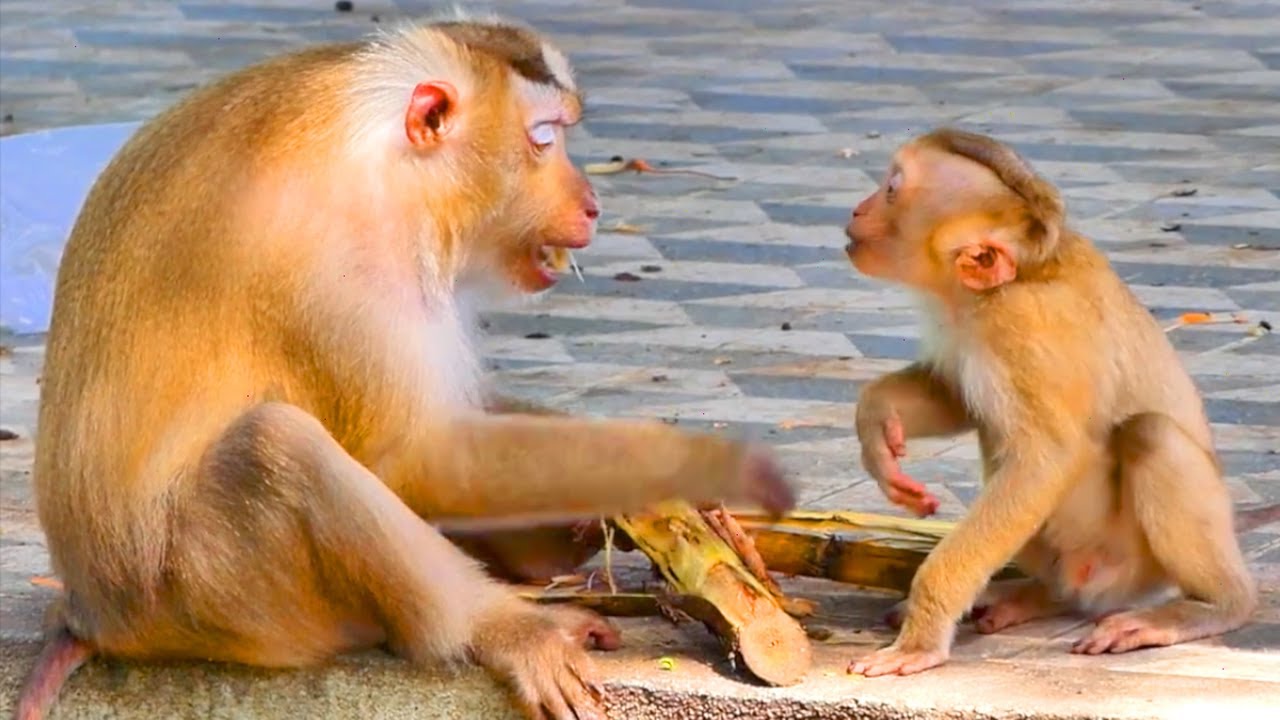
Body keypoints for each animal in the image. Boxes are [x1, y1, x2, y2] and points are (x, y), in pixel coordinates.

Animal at [13, 15, 795, 720]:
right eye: (544, 139)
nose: (592, 204)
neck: (385, 158)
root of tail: (94, 615)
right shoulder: (348, 258)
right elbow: (420, 454)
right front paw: (698, 464)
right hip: (212, 600)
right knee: (279, 447)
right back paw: (498, 626)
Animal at [841, 127, 1273, 678]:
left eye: (892, 191)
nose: (858, 208)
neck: (1014, 281)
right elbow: (956, 395)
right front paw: (878, 427)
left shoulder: (1024, 328)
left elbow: (1047, 460)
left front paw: (923, 633)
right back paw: (1037, 595)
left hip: (1126, 565)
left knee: (1151, 434)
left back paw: (1215, 606)